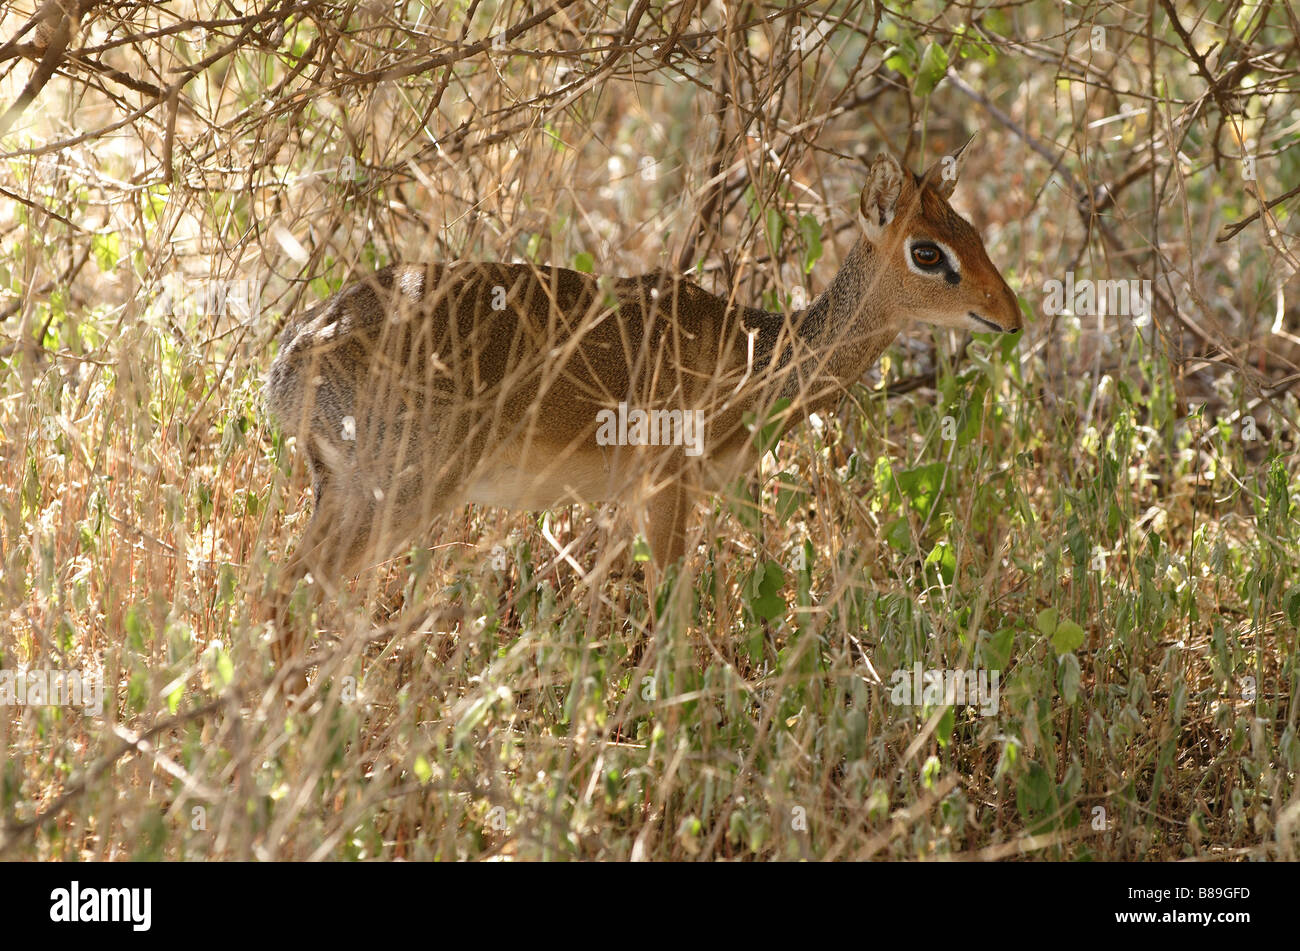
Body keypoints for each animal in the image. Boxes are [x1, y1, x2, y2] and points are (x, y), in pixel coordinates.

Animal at [263, 141, 1022, 686]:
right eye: (927, 251)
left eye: (972, 231)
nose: (1011, 316)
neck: (754, 353)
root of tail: (292, 357)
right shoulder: (667, 486)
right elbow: (670, 610)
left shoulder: (629, 497)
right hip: (398, 489)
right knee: (288, 590)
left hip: (340, 487)